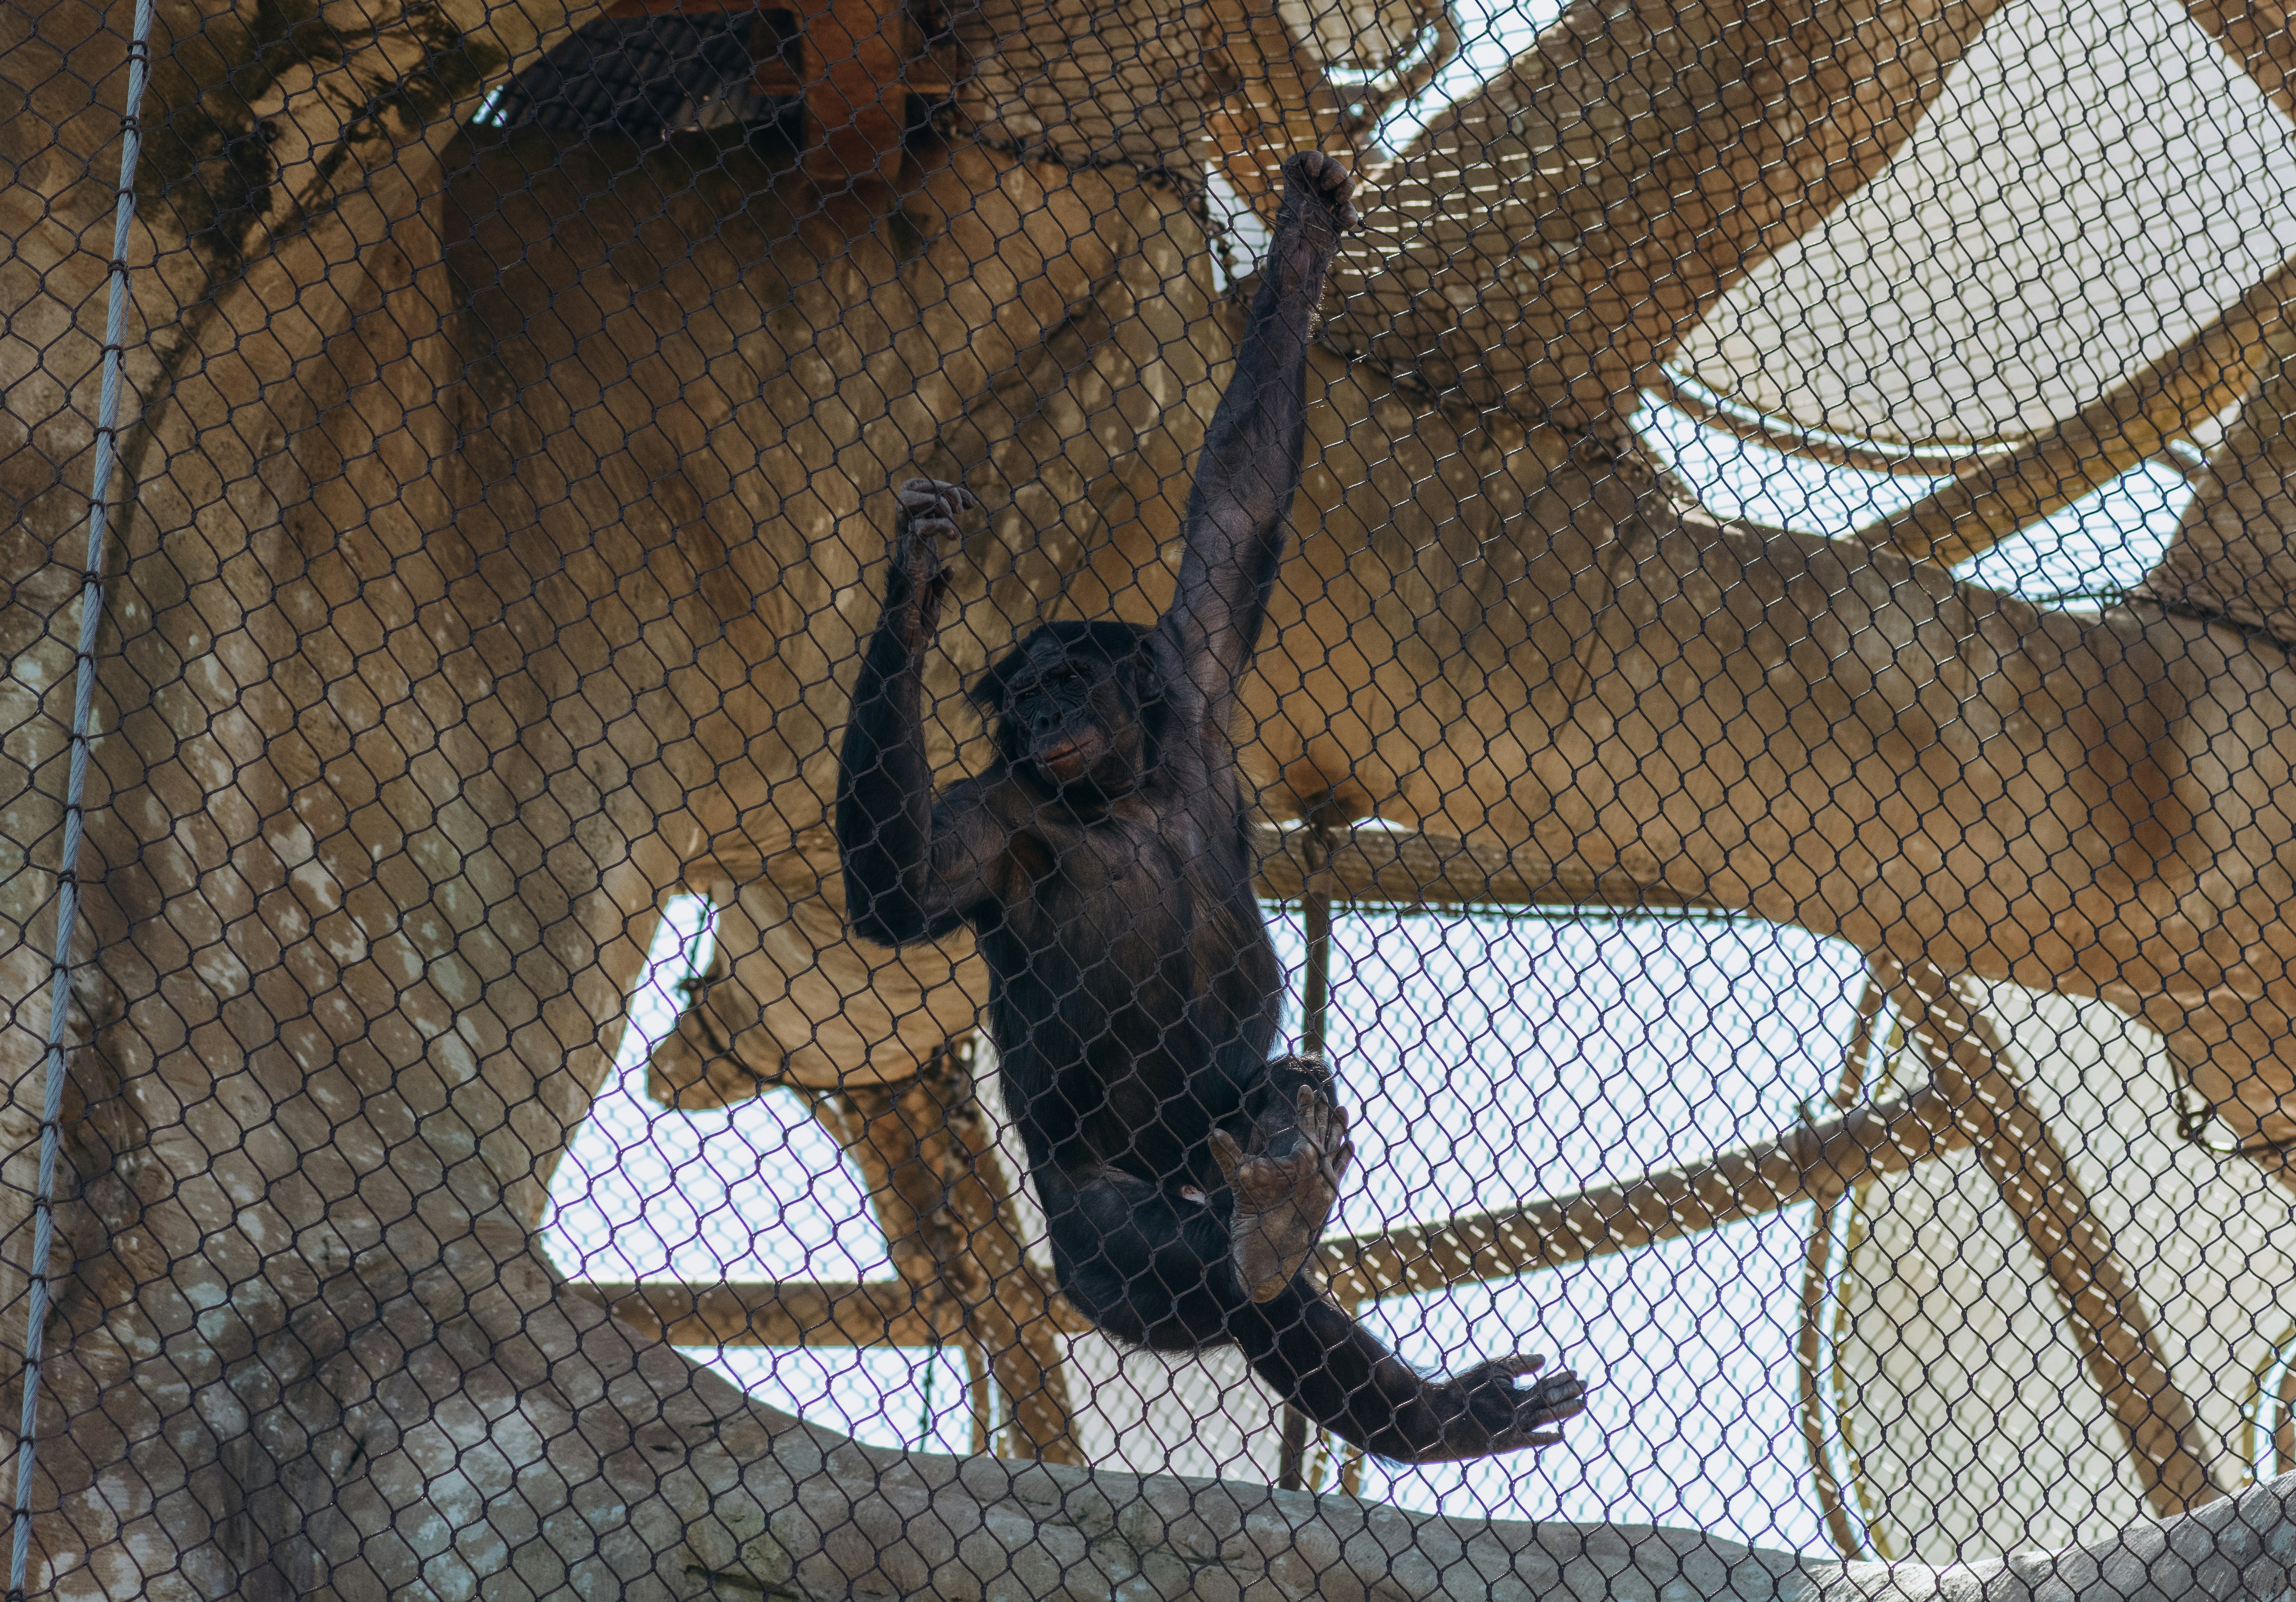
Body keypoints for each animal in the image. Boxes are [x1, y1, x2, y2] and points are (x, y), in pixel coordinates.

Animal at [836, 151, 1585, 1463]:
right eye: (1022, 696)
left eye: (1064, 679)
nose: (1041, 711)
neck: (1118, 793)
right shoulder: (997, 818)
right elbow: (897, 889)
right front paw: (914, 588)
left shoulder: (1196, 671)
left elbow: (1238, 495)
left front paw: (1302, 246)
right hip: (1092, 1241)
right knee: (1196, 1270)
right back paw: (1270, 1240)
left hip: (1213, 1135)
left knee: (1285, 1123)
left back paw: (1414, 1380)